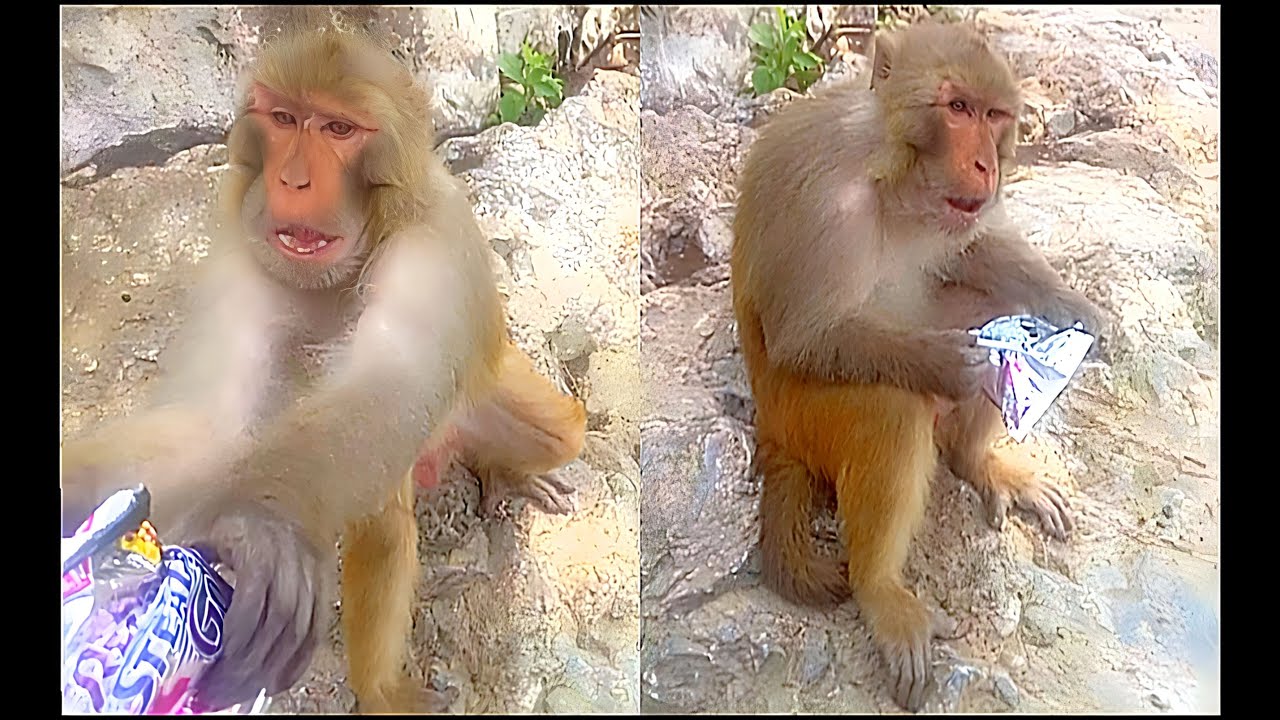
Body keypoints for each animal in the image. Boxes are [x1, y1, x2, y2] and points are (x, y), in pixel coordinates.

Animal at [59, 10, 586, 713]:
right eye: (284, 119)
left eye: (338, 129)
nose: (293, 181)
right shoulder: (245, 262)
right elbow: (214, 425)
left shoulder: (433, 249)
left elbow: (392, 381)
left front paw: (264, 527)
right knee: (386, 510)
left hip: (491, 389)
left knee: (556, 431)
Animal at [729, 21, 1103, 712]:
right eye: (956, 108)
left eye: (993, 116)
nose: (986, 162)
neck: (891, 176)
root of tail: (773, 433)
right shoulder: (824, 201)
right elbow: (805, 336)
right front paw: (948, 365)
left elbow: (978, 248)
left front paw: (1073, 305)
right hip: (804, 416)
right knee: (891, 410)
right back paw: (881, 589)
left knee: (993, 309)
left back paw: (975, 460)